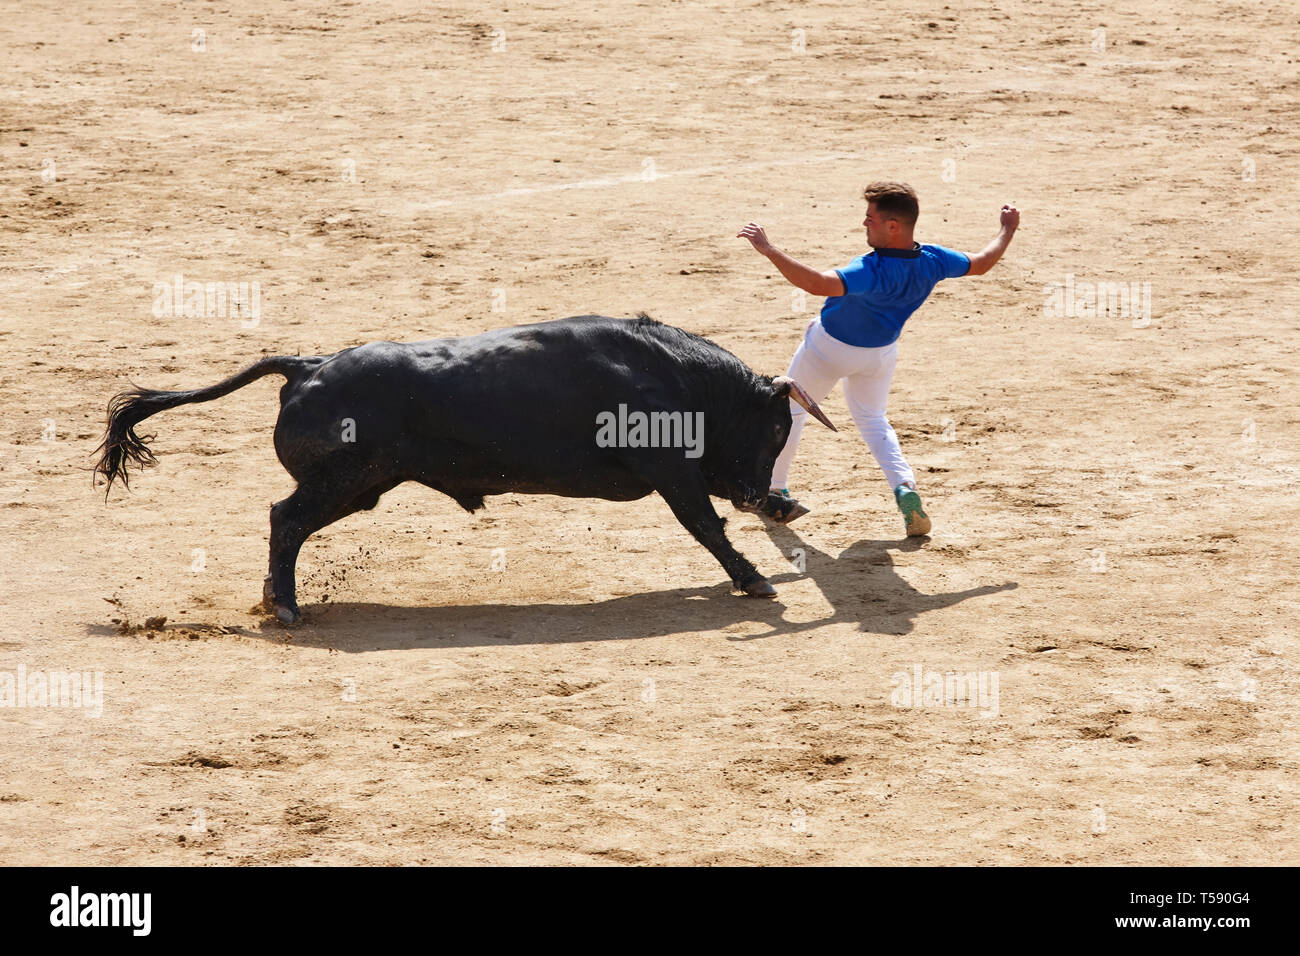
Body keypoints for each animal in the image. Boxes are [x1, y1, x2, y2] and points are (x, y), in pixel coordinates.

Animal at [94, 313, 836, 623]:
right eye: (777, 428)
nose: (770, 499)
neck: (675, 377)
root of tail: (308, 365)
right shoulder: (672, 473)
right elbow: (707, 527)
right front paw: (755, 580)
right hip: (347, 480)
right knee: (286, 520)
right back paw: (287, 608)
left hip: (362, 484)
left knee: (288, 522)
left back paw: (276, 599)